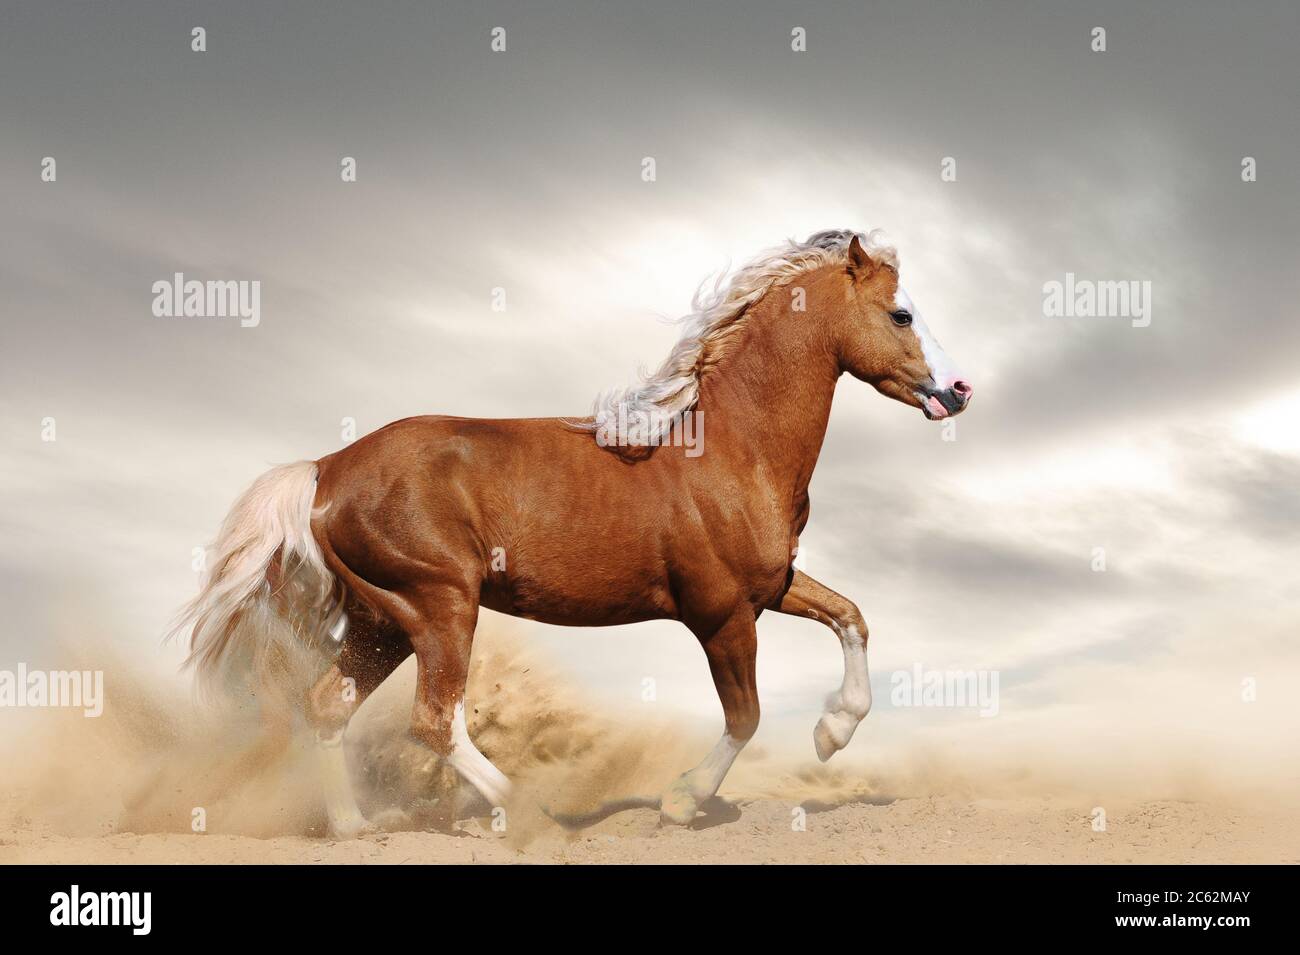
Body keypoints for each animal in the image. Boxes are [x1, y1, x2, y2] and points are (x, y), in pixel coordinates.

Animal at [169, 229, 972, 835]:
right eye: (901, 314)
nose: (960, 390)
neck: (731, 447)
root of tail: (325, 468)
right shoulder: (719, 611)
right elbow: (744, 715)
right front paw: (683, 801)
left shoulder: (770, 587)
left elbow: (852, 617)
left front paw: (832, 733)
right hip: (439, 605)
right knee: (434, 719)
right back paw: (530, 810)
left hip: (384, 620)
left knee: (328, 707)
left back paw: (354, 827)